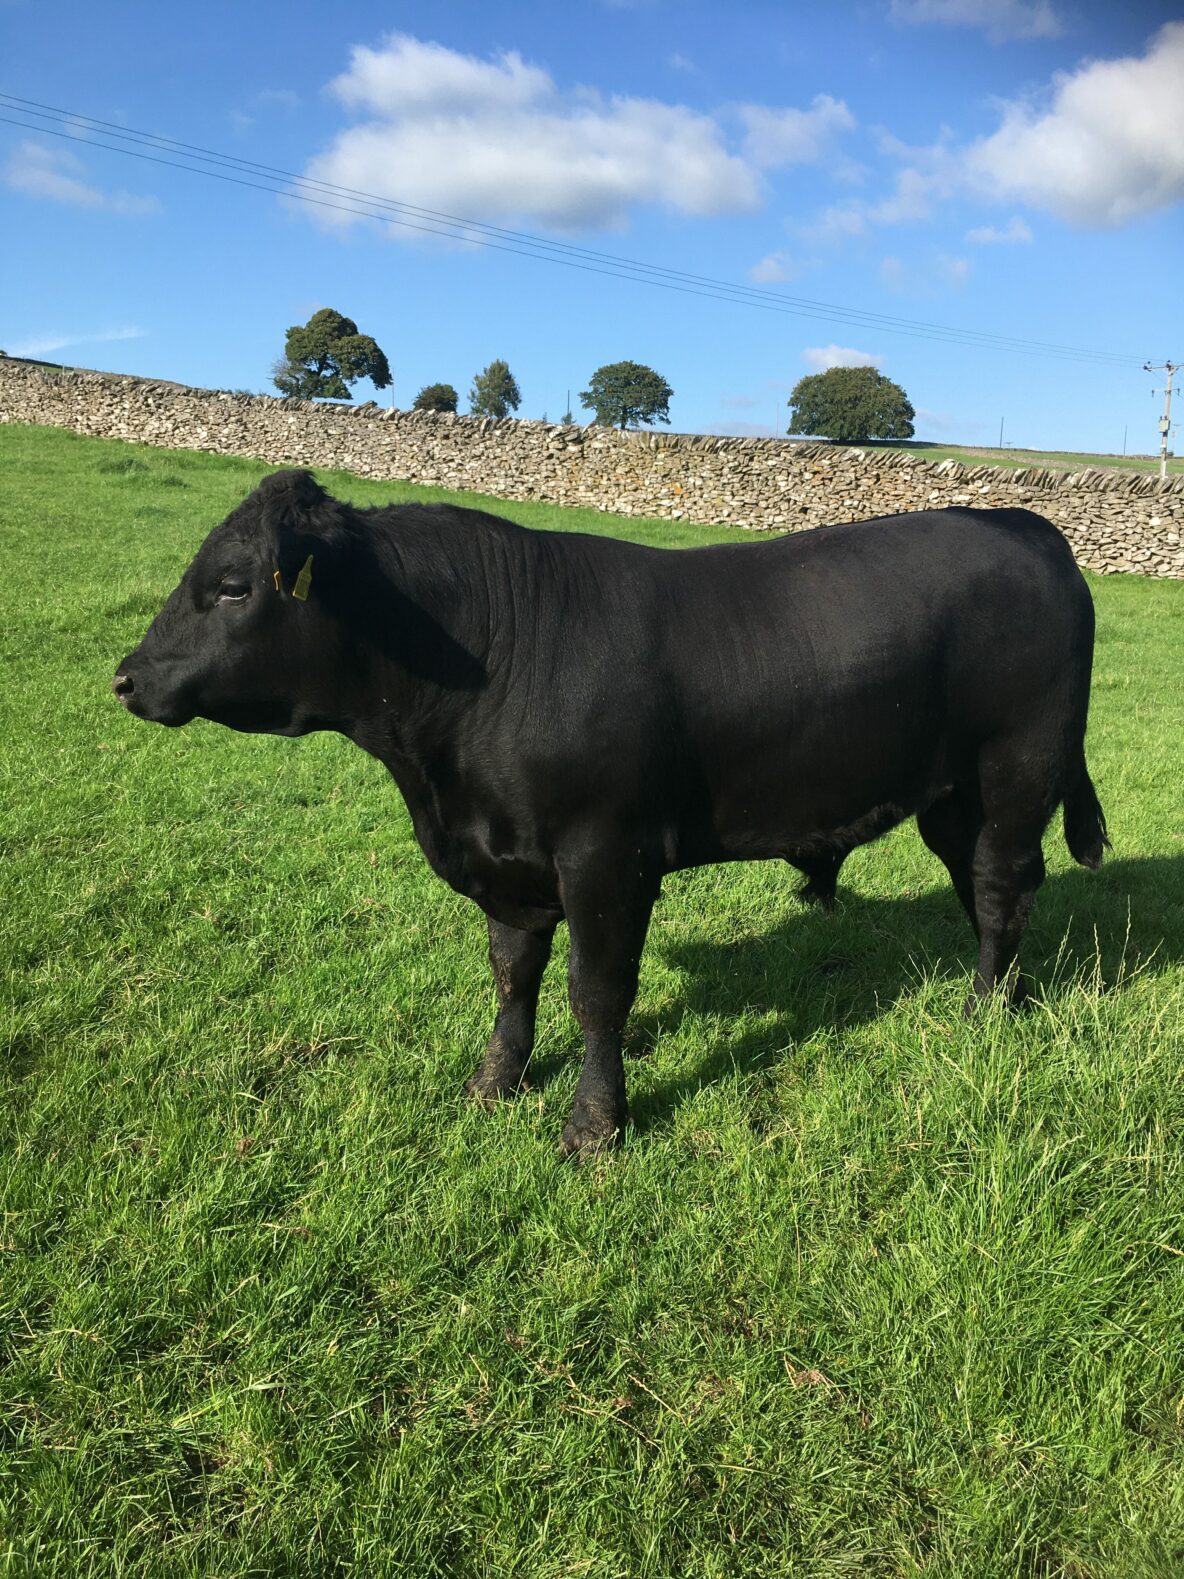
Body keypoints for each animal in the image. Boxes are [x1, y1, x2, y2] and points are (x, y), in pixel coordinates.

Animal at [113, 470, 1108, 1157]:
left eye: (234, 585)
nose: (127, 677)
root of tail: (1020, 524)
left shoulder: (604, 856)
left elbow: (597, 993)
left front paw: (594, 1125)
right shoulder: (508, 868)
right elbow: (512, 978)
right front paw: (493, 1083)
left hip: (1016, 768)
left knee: (1003, 884)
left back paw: (984, 1015)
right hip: (950, 794)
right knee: (979, 888)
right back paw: (998, 992)